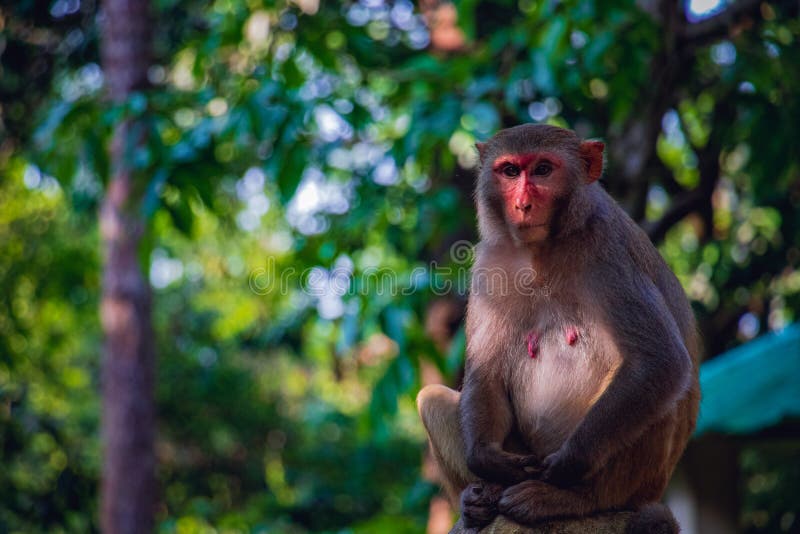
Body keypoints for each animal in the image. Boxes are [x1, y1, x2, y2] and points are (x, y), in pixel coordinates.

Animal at [417, 124, 699, 533]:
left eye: (543, 170)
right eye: (510, 171)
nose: (523, 204)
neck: (544, 248)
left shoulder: (607, 252)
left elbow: (659, 360)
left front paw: (567, 466)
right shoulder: (490, 263)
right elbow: (486, 372)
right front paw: (487, 459)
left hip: (637, 483)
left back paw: (569, 499)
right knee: (431, 398)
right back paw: (477, 500)